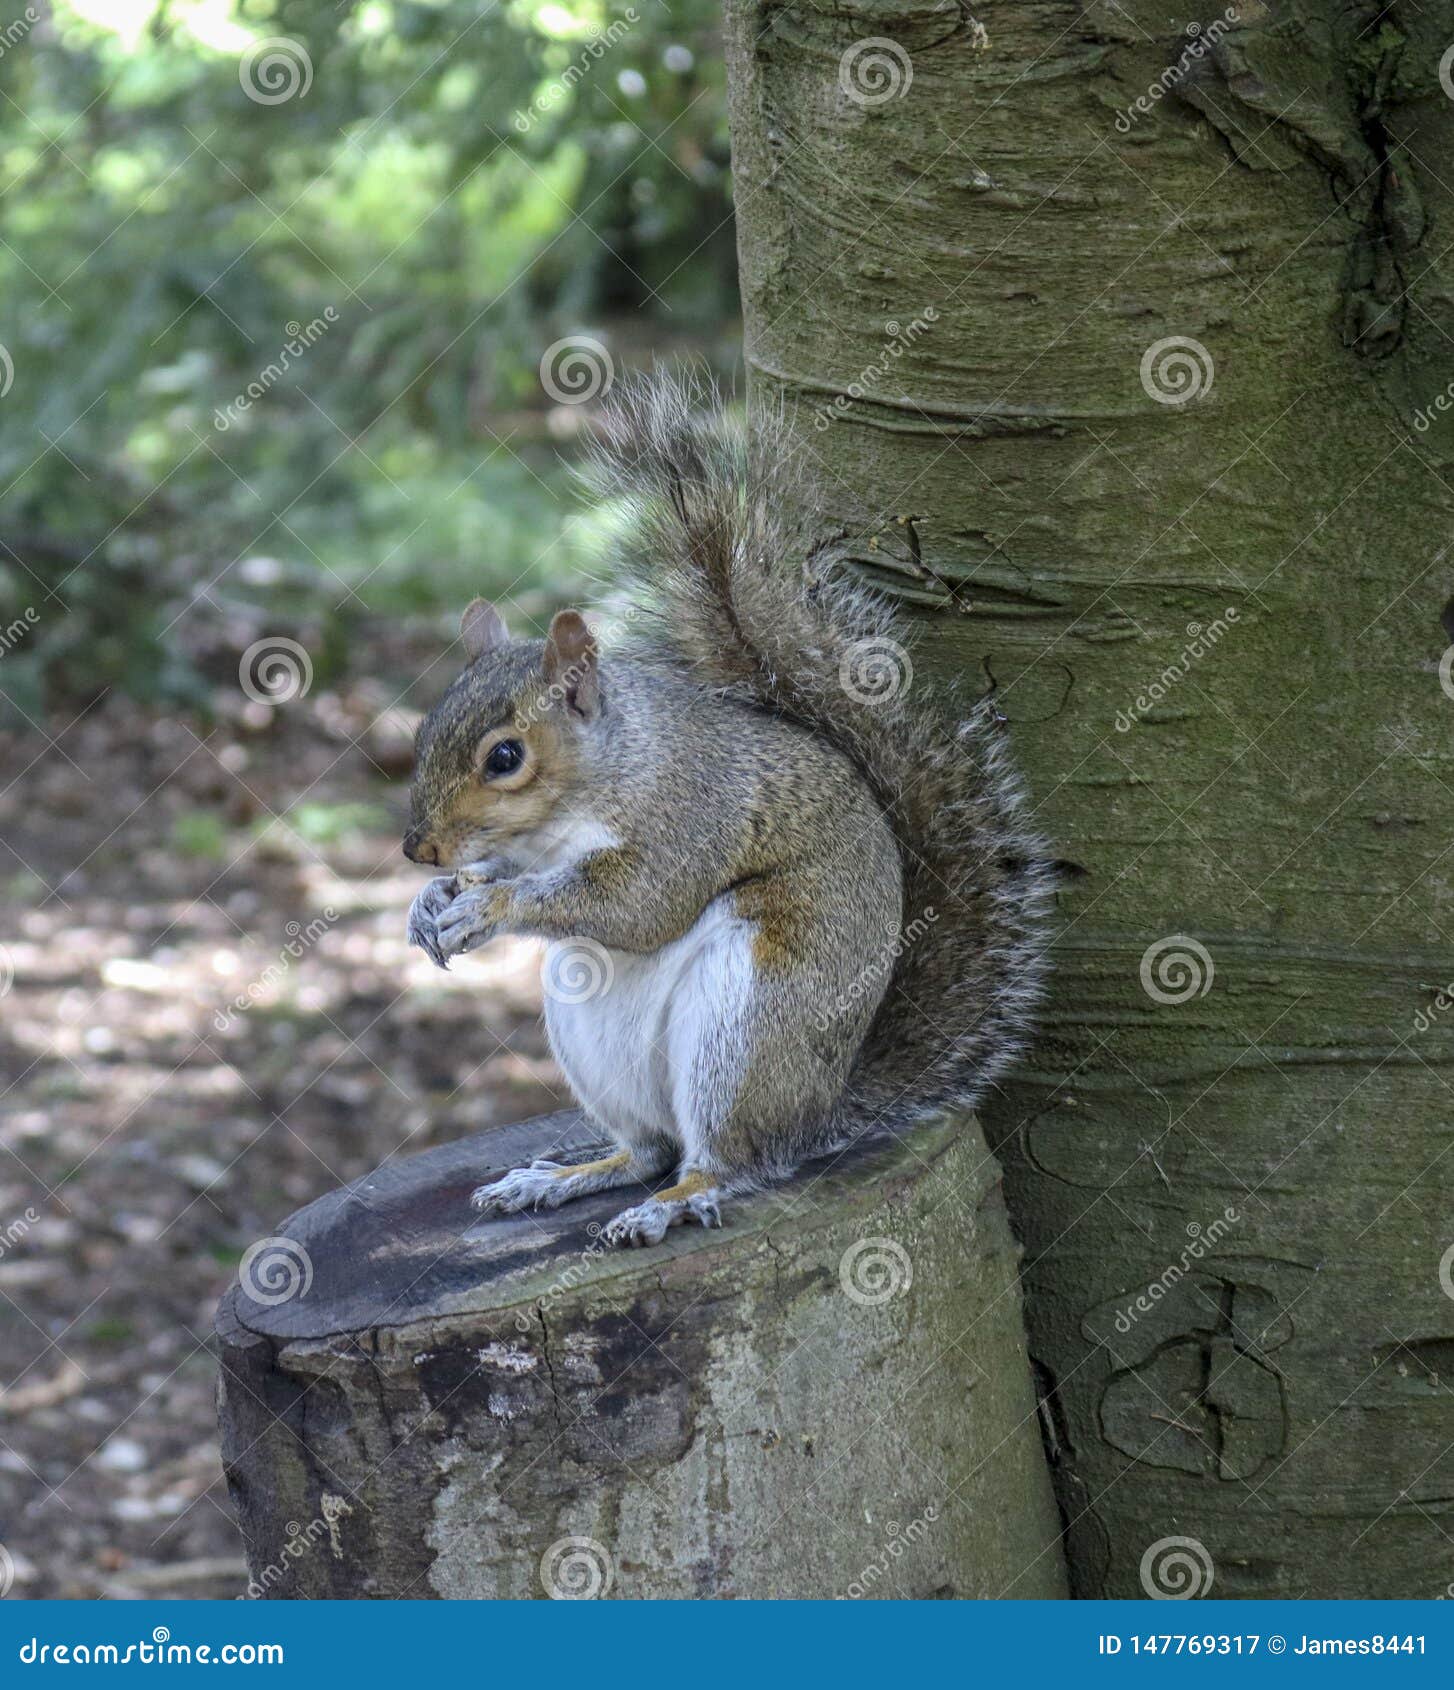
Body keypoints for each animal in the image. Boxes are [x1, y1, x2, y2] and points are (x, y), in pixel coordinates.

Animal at [403, 372, 1050, 1248]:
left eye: (504, 758)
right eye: (424, 729)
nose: (417, 849)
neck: (606, 773)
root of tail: (818, 1113)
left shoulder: (690, 815)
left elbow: (641, 905)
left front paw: (490, 906)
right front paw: (430, 902)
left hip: (745, 1028)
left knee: (724, 1161)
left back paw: (668, 1205)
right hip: (593, 1042)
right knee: (647, 1148)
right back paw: (560, 1179)